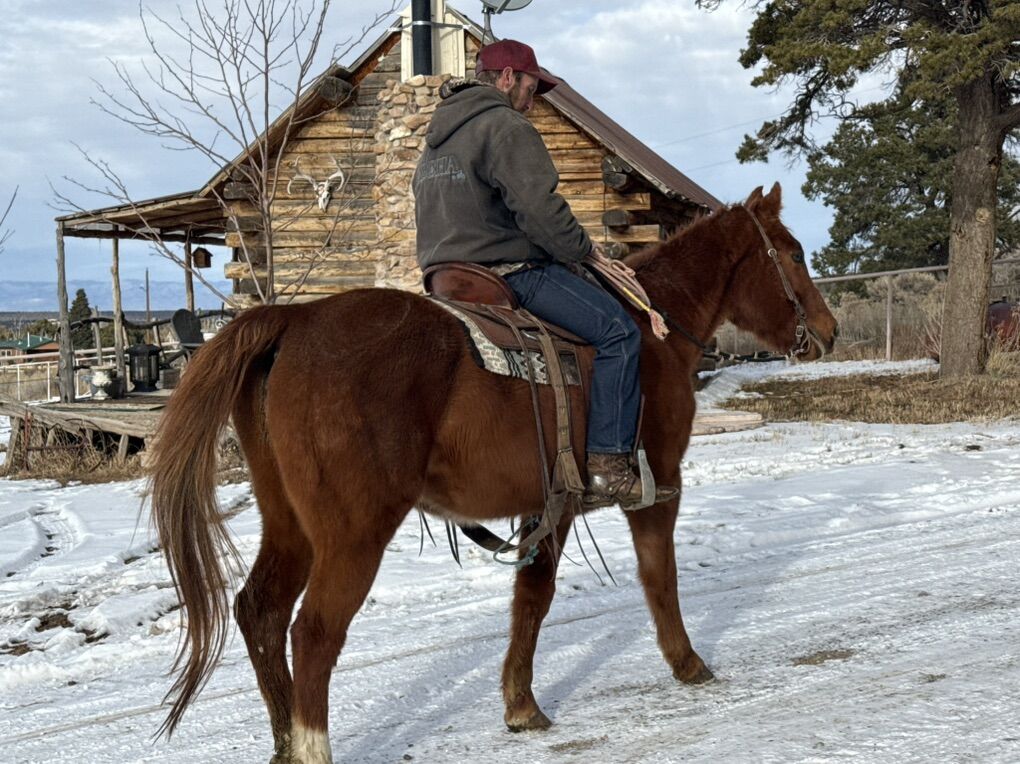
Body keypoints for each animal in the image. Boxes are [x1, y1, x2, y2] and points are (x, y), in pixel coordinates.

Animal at [150, 183, 838, 763]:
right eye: (793, 253)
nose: (829, 331)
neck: (654, 331)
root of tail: (294, 321)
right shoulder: (655, 484)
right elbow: (657, 577)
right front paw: (688, 663)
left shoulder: (550, 502)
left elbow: (532, 597)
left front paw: (521, 705)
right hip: (354, 533)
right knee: (314, 632)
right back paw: (313, 747)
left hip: (290, 524)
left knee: (261, 613)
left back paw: (285, 745)